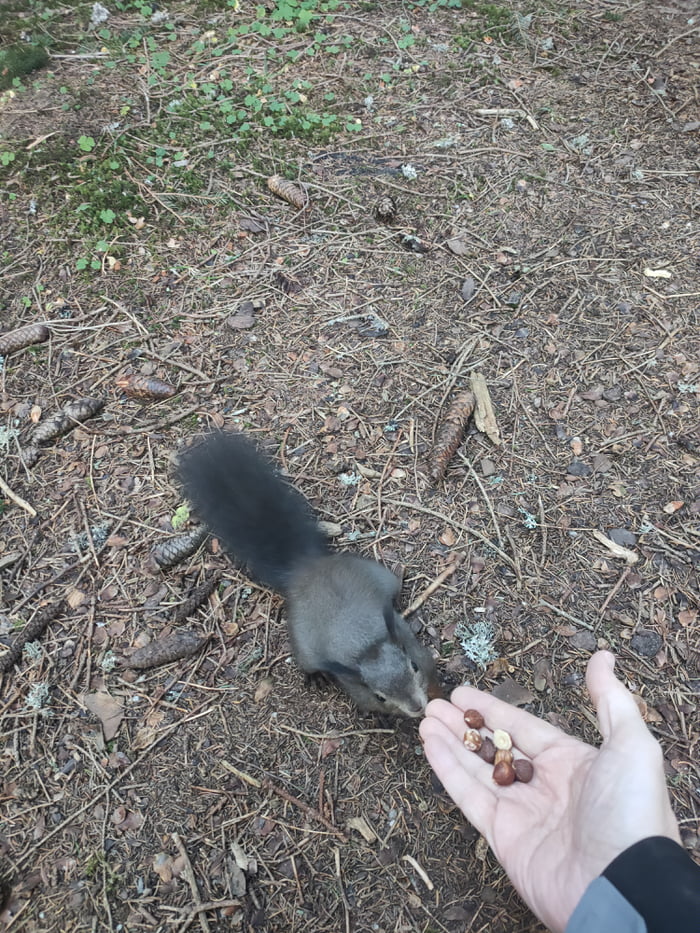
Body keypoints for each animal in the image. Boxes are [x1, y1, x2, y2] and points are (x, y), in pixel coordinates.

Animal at [176, 431, 437, 717]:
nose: (417, 707)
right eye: (379, 697)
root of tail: (306, 566)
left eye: (414, 666)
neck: (367, 644)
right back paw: (314, 676)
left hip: (382, 576)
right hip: (305, 647)